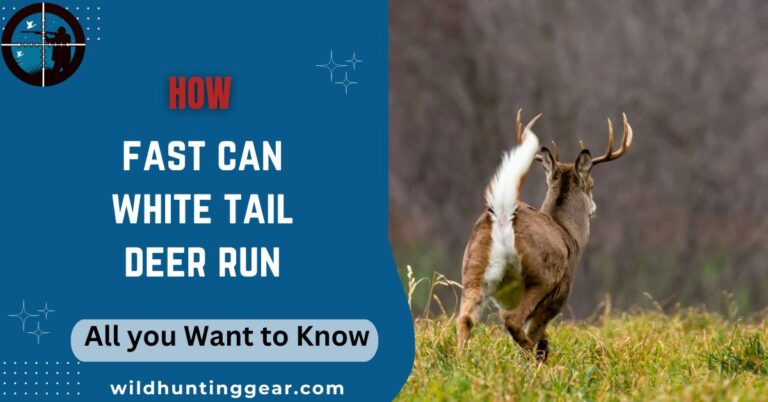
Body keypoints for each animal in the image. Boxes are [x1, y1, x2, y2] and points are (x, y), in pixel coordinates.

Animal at [456, 110, 633, 362]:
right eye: (592, 185)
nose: (594, 207)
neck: (568, 234)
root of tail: (503, 215)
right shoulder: (558, 296)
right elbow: (539, 335)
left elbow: (544, 338)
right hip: (541, 276)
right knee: (513, 322)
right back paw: (530, 362)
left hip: (473, 270)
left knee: (465, 318)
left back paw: (461, 360)